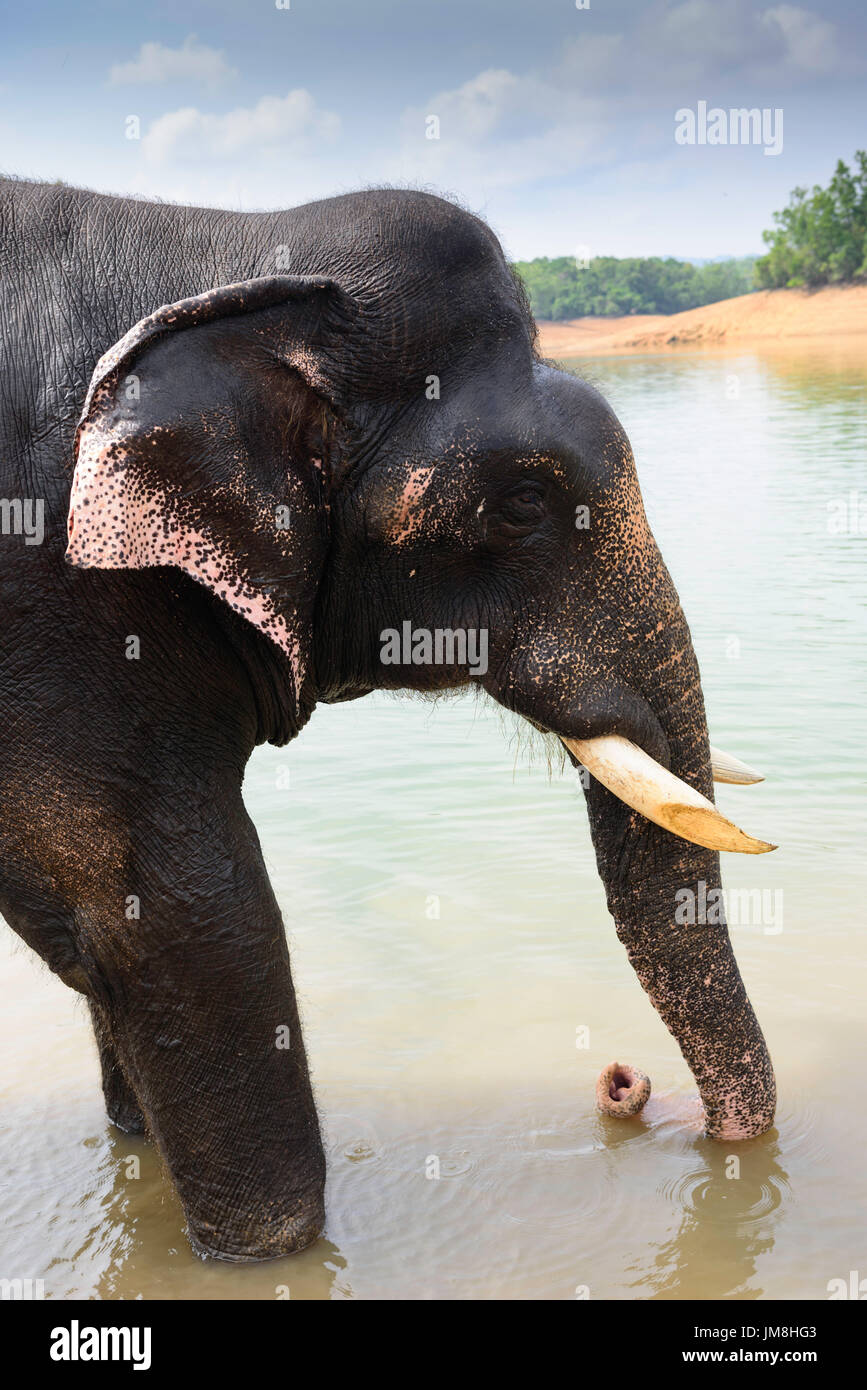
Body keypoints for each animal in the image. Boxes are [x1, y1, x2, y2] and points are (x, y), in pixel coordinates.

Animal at [0, 176, 776, 1262]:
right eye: (525, 502)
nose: (629, 1088)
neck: (232, 250)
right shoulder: (73, 612)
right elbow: (191, 916)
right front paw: (268, 1259)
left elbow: (96, 935)